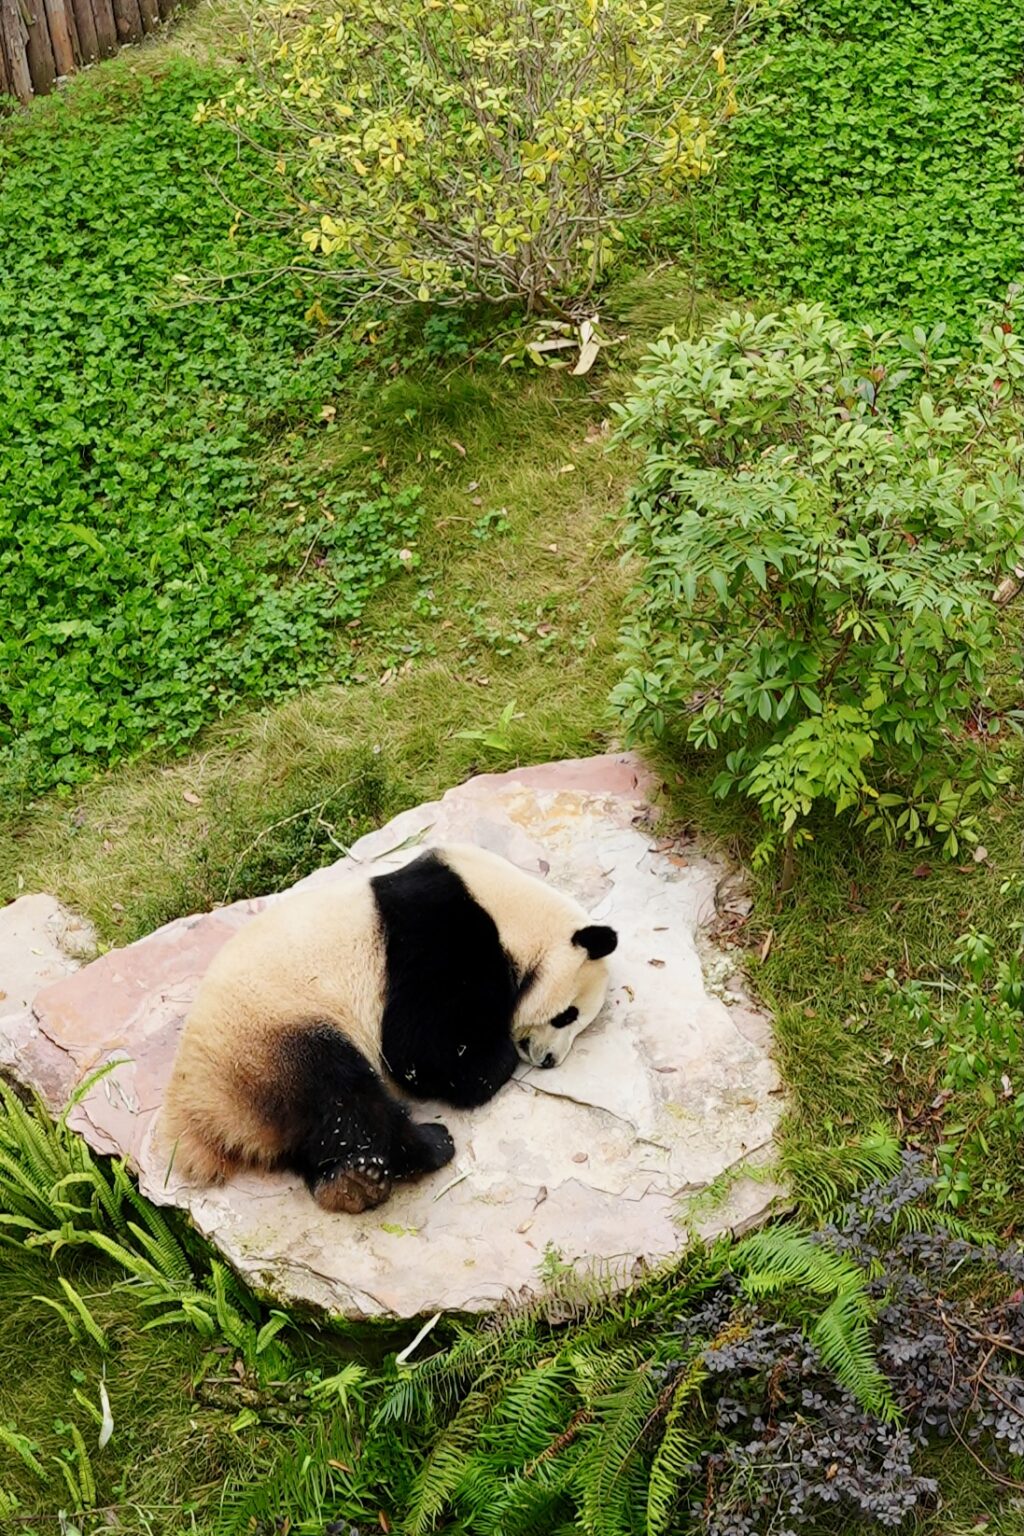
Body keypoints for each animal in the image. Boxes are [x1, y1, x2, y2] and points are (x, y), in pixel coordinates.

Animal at [161, 843, 617, 1215]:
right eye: (567, 1016)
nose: (549, 1060)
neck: (510, 912)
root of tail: (195, 1113)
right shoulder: (442, 934)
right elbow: (421, 1051)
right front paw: (494, 1059)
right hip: (271, 1034)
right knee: (342, 1095)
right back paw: (420, 1150)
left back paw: (348, 1183)